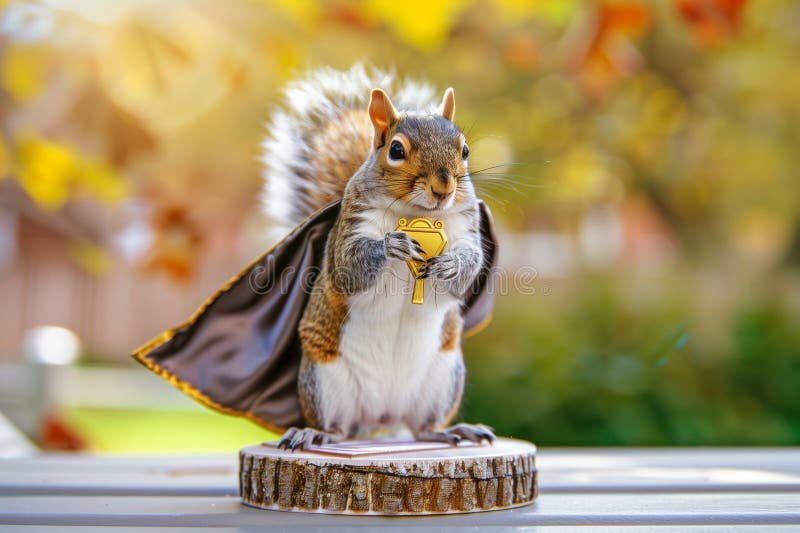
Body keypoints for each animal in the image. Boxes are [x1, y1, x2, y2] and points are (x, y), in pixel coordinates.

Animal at [261, 66, 495, 451]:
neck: (415, 211)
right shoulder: (349, 232)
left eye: (465, 150)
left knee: (421, 428)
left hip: (442, 380)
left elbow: (471, 264)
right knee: (339, 428)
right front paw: (391, 245)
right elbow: (349, 268)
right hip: (325, 382)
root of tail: (380, 417)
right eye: (396, 149)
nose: (443, 188)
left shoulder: (466, 230)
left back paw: (452, 430)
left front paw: (451, 265)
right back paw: (316, 433)